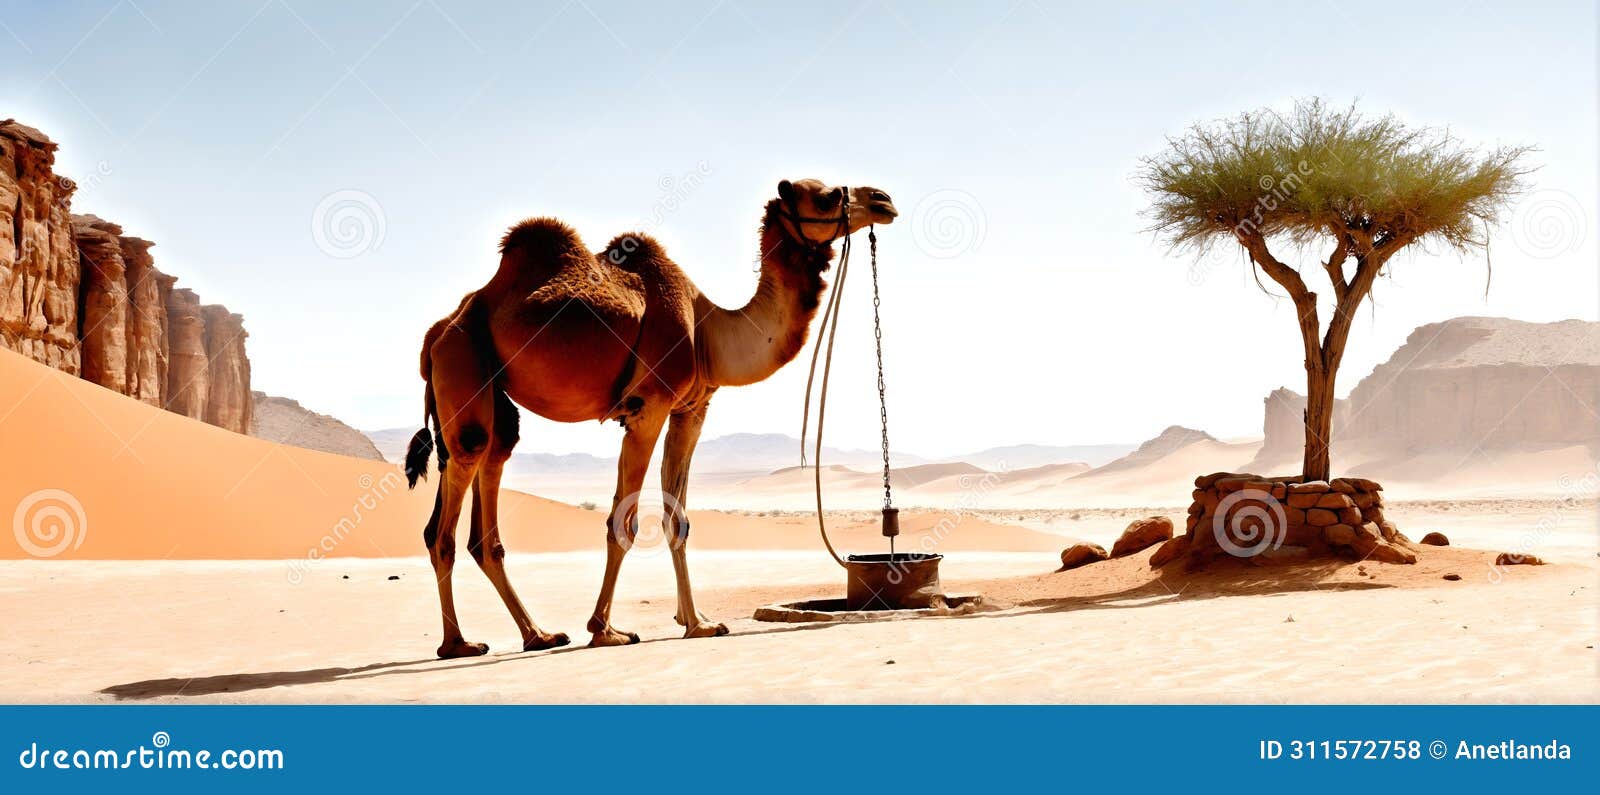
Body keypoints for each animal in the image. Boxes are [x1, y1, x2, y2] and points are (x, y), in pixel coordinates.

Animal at [404, 179, 897, 657]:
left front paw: (698, 623)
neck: (709, 330)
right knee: (451, 509)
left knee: (488, 474)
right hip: (462, 360)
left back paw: (538, 635)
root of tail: (436, 333)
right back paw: (458, 644)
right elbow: (624, 522)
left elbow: (677, 519)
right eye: (827, 196)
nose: (883, 200)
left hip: (489, 392)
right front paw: (605, 631)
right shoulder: (648, 408)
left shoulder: (690, 410)